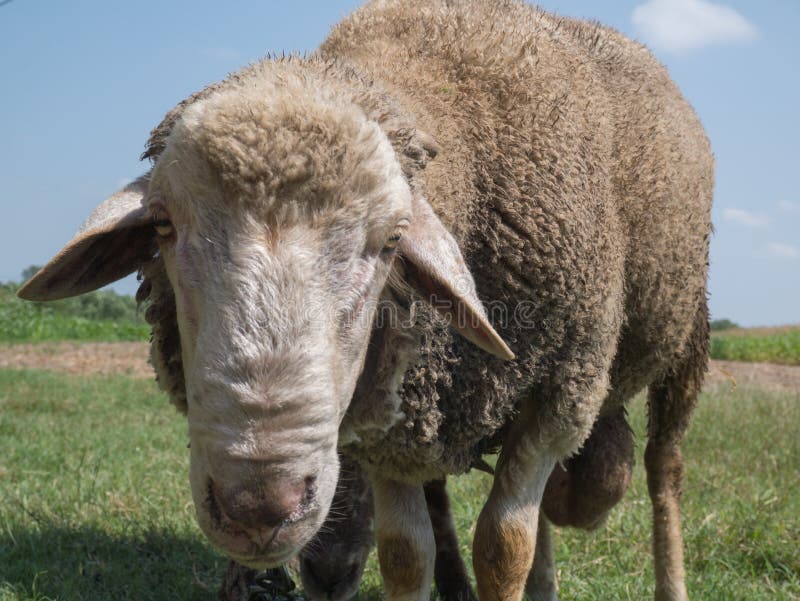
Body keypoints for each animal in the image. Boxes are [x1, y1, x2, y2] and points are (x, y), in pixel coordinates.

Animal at [18, 1, 713, 600]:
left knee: (663, 470)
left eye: (391, 241)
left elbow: (503, 547)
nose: (259, 507)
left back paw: (670, 577)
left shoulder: (558, 400)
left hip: (686, 340)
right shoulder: (392, 420)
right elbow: (406, 554)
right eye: (162, 225)